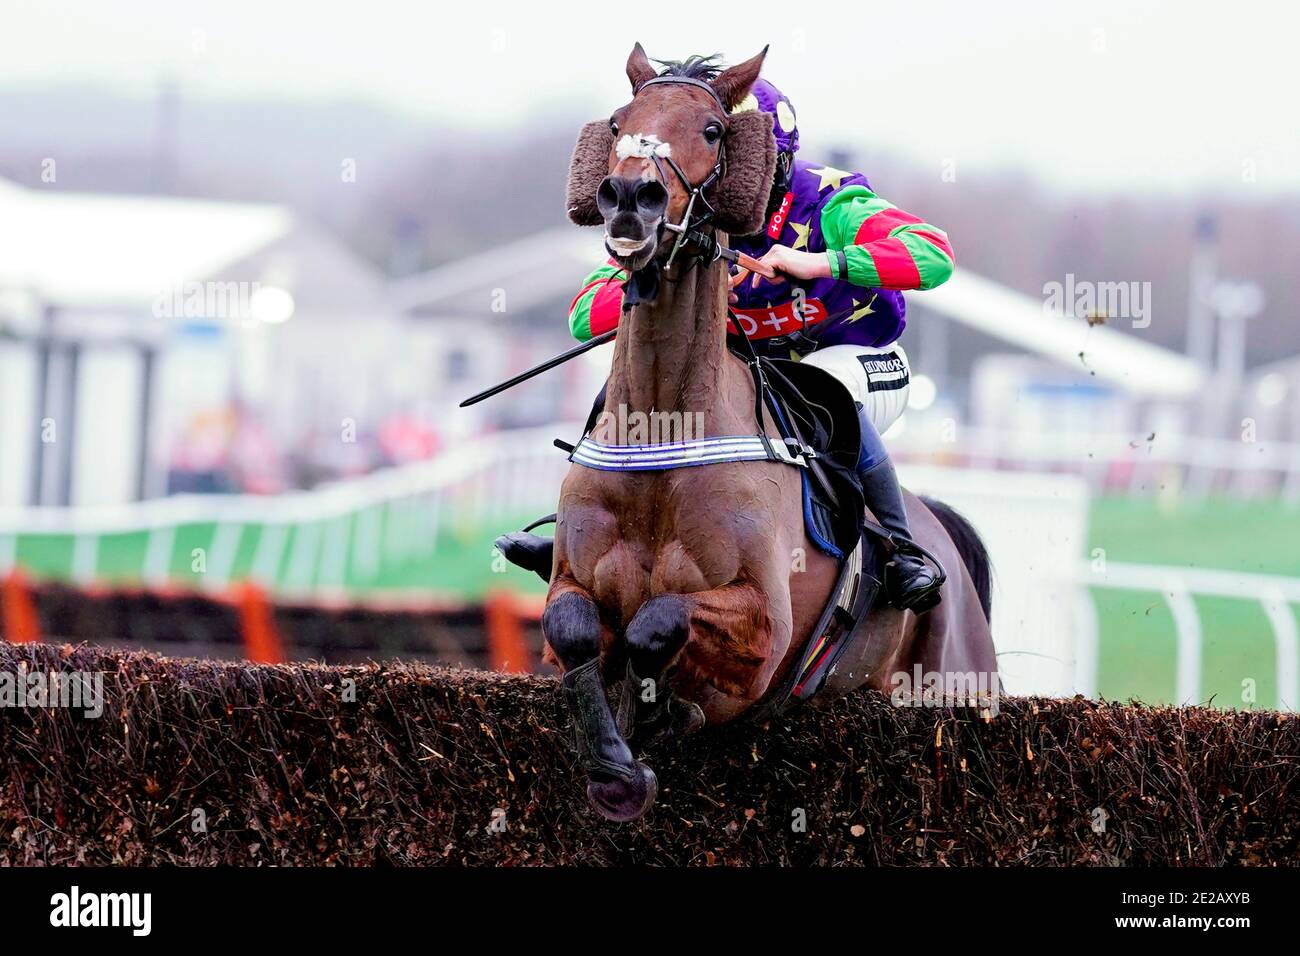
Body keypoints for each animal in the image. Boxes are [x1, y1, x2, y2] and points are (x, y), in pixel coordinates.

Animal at [543, 43, 998, 822]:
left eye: (713, 129)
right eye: (619, 120)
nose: (629, 197)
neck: (665, 432)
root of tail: (943, 534)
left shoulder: (762, 628)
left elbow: (658, 620)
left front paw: (656, 715)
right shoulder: (570, 583)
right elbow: (572, 631)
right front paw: (613, 762)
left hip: (960, 678)